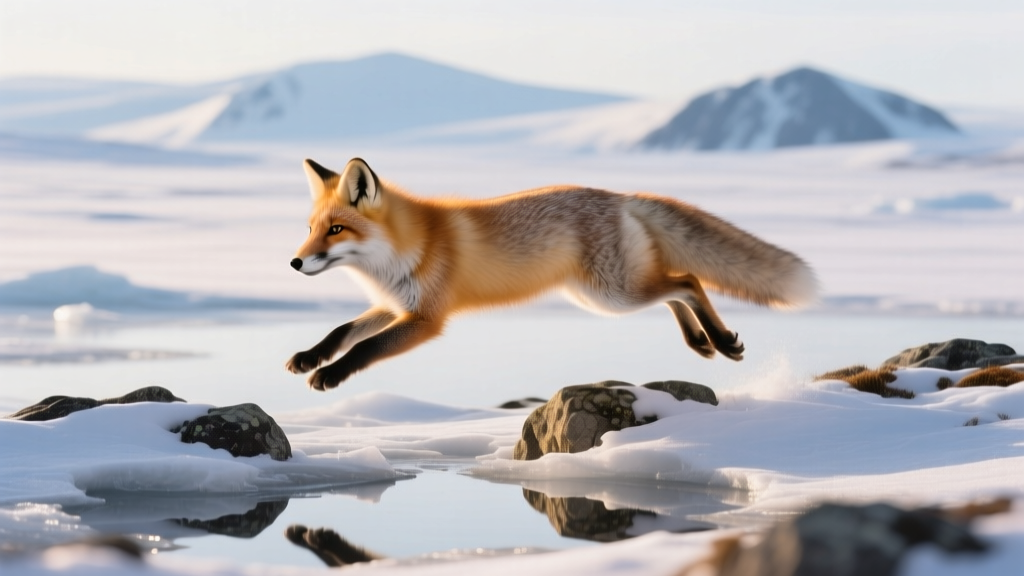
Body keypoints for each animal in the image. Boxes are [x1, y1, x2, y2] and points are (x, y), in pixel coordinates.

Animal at [287, 158, 817, 391]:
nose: (294, 263)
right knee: (674, 287)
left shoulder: (424, 319)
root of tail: (619, 195)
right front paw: (311, 357)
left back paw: (721, 340)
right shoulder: (393, 304)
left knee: (686, 280)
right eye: (310, 229)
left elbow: (367, 348)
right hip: (603, 295)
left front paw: (330, 374)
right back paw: (701, 341)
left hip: (612, 294)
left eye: (336, 229)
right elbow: (343, 331)